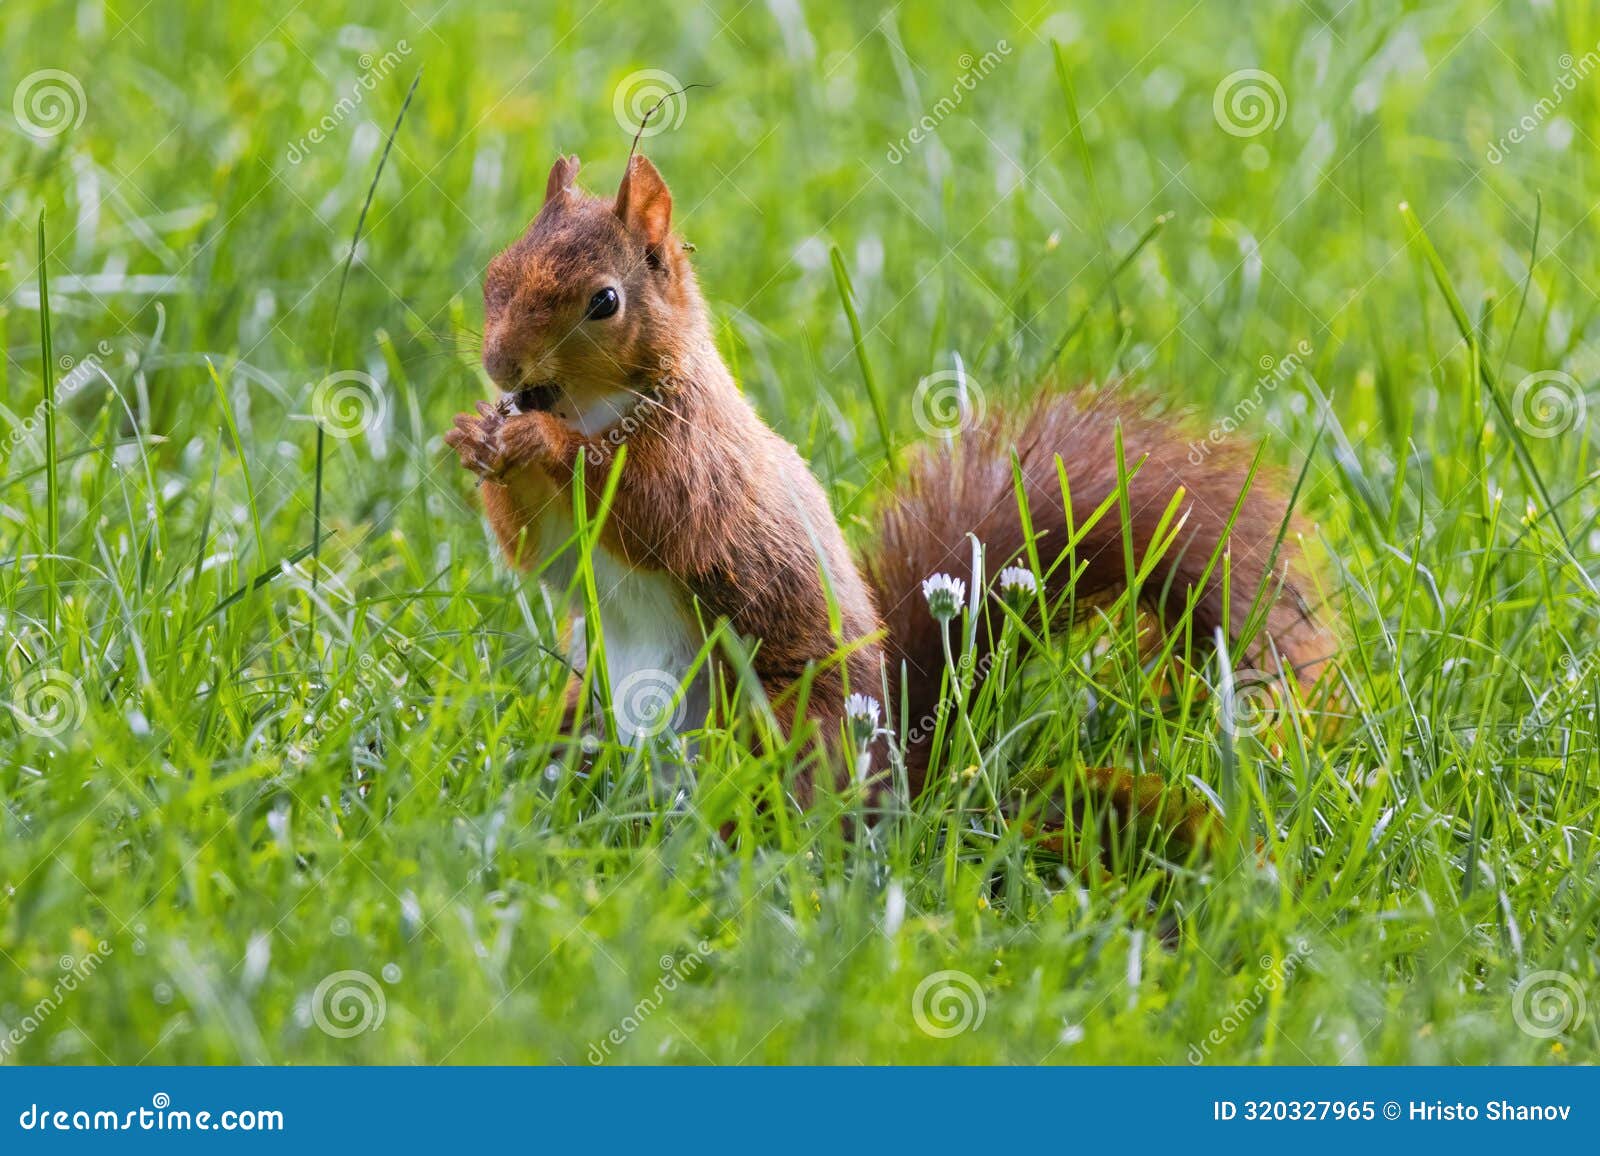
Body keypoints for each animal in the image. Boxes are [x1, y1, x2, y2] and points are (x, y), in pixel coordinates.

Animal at [445, 153, 1334, 809]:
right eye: (494, 273)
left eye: (605, 302)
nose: (503, 368)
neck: (596, 407)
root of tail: (895, 781)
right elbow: (544, 553)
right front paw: (477, 440)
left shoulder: (693, 464)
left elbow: (639, 507)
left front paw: (533, 439)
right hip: (587, 709)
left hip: (790, 717)